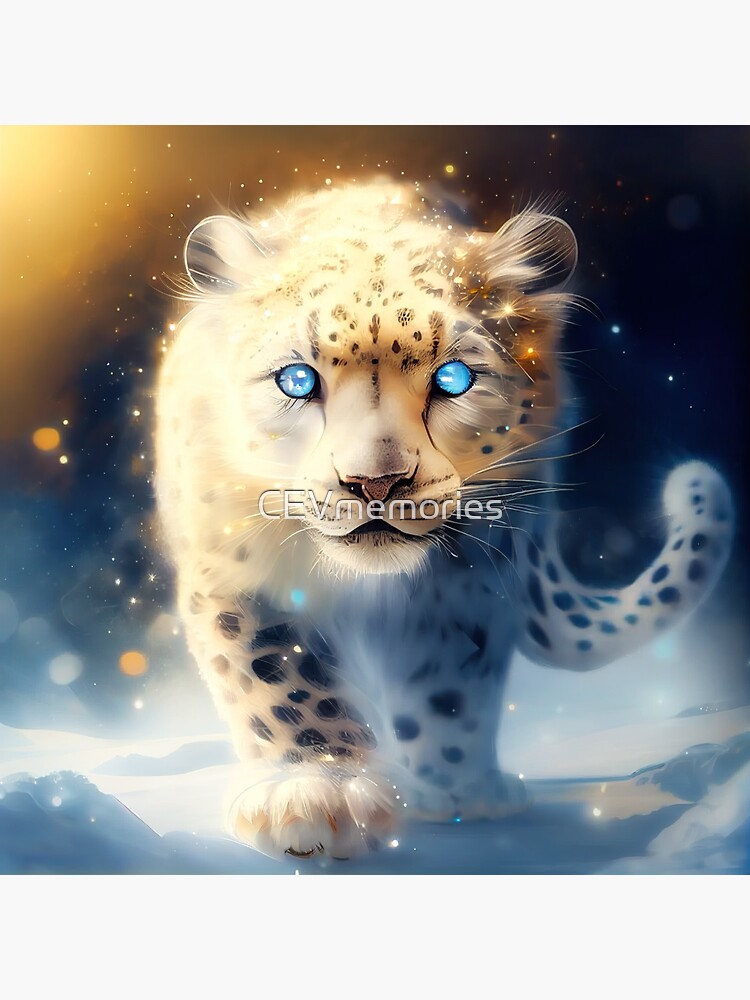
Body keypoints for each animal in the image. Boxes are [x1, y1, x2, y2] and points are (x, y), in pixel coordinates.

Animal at [155, 180, 734, 860]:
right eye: (295, 379)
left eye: (454, 378)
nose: (375, 482)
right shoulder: (235, 568)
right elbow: (275, 672)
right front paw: (317, 794)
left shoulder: (469, 584)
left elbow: (453, 681)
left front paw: (458, 789)